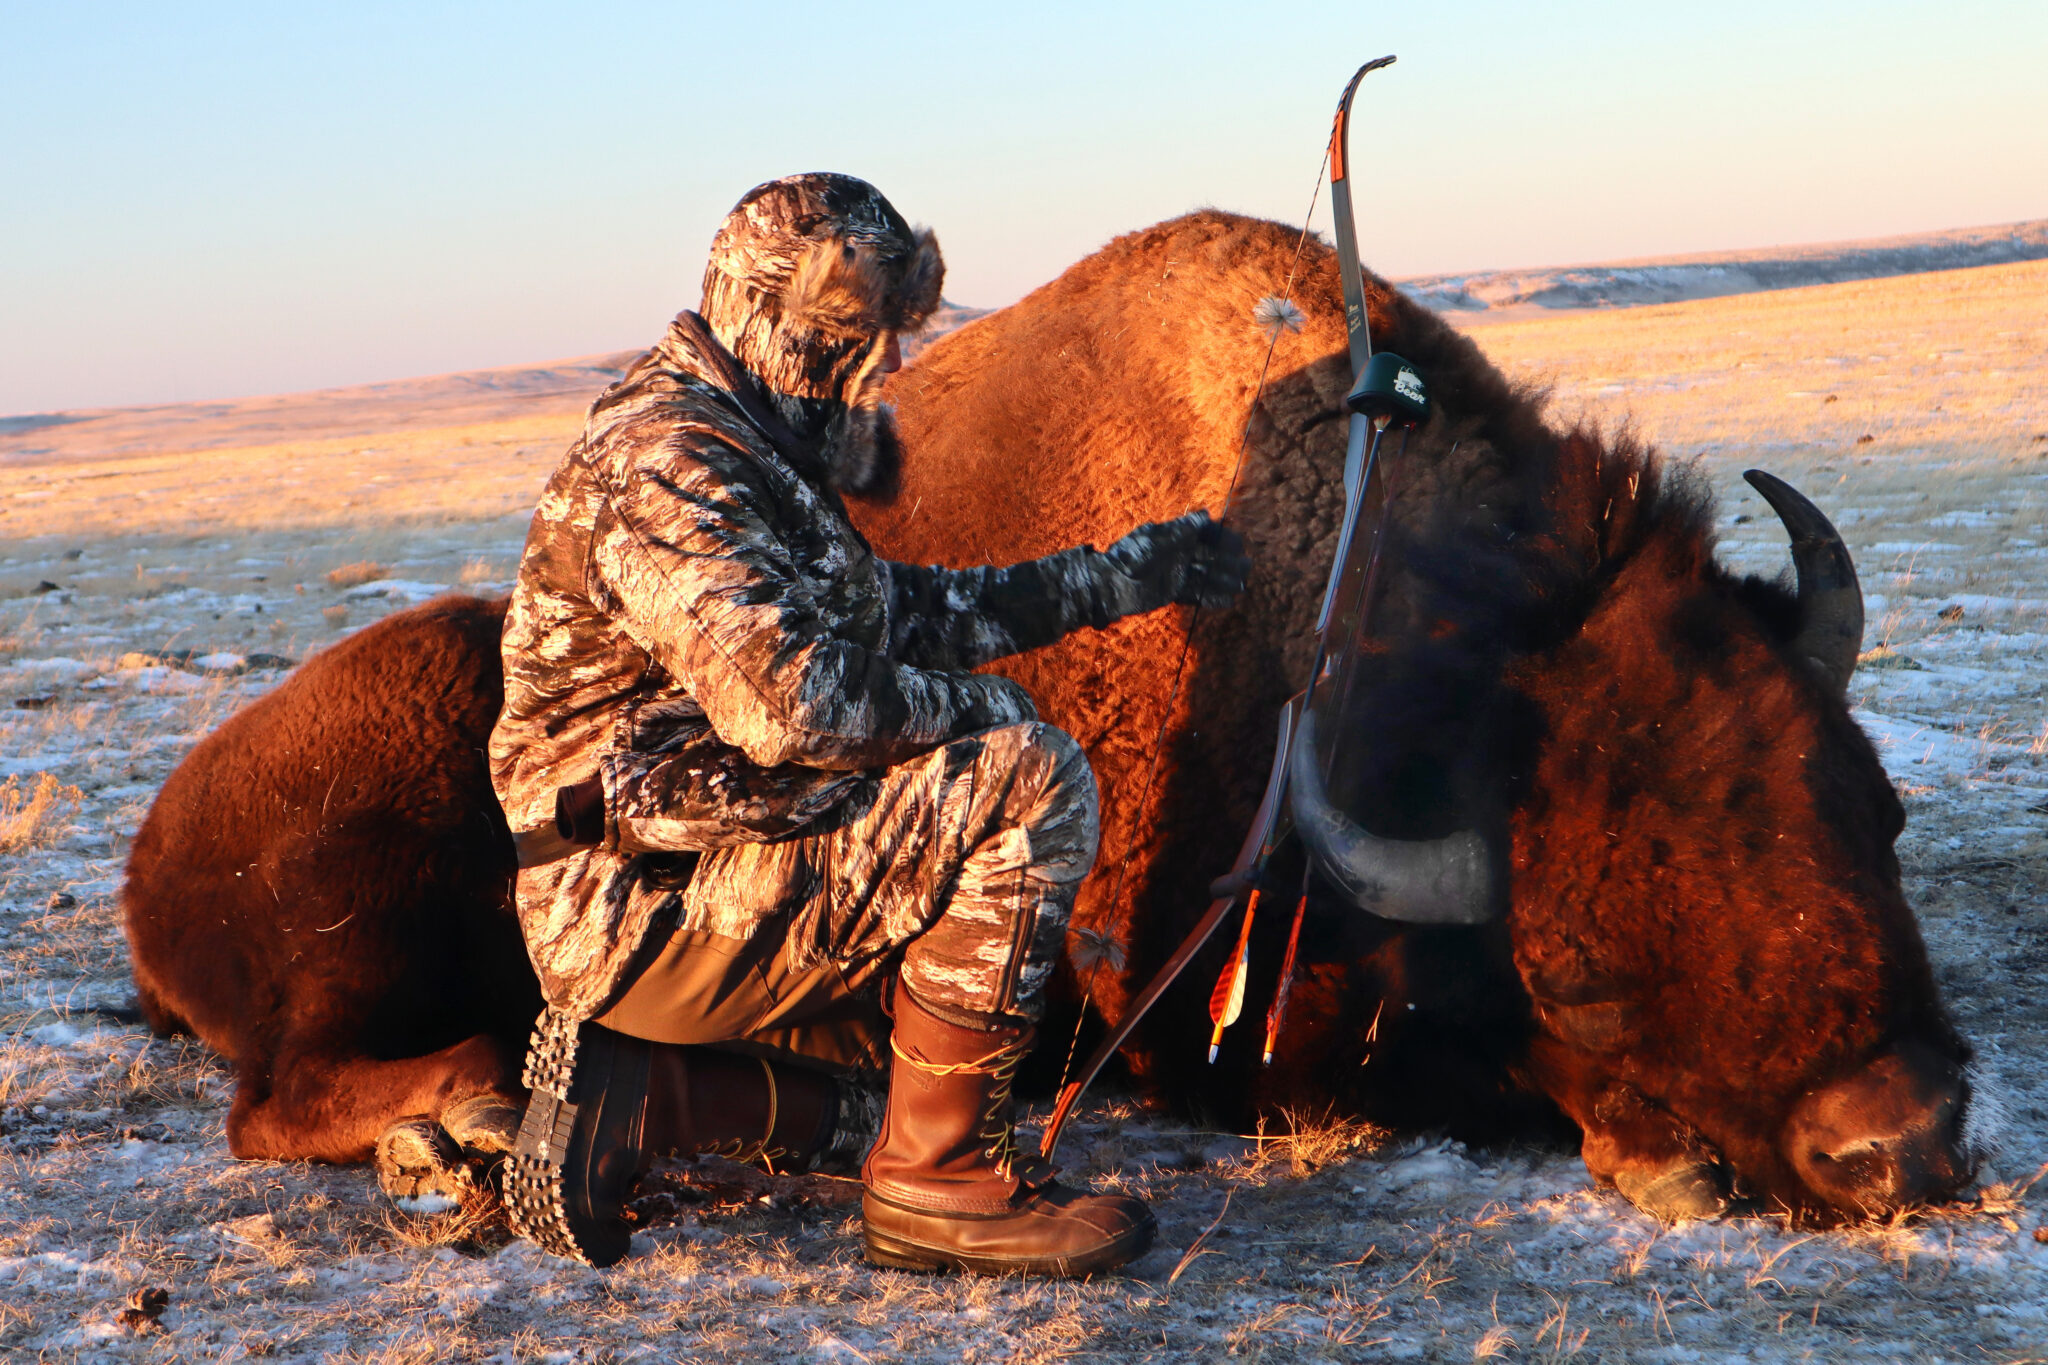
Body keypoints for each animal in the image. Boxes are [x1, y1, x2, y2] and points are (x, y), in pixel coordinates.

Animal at [123, 210, 1982, 1222]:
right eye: (1580, 969)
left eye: (1869, 814)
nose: (1898, 1146)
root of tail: (156, 851)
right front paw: (1658, 1154)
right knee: (286, 1092)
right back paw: (463, 1120)